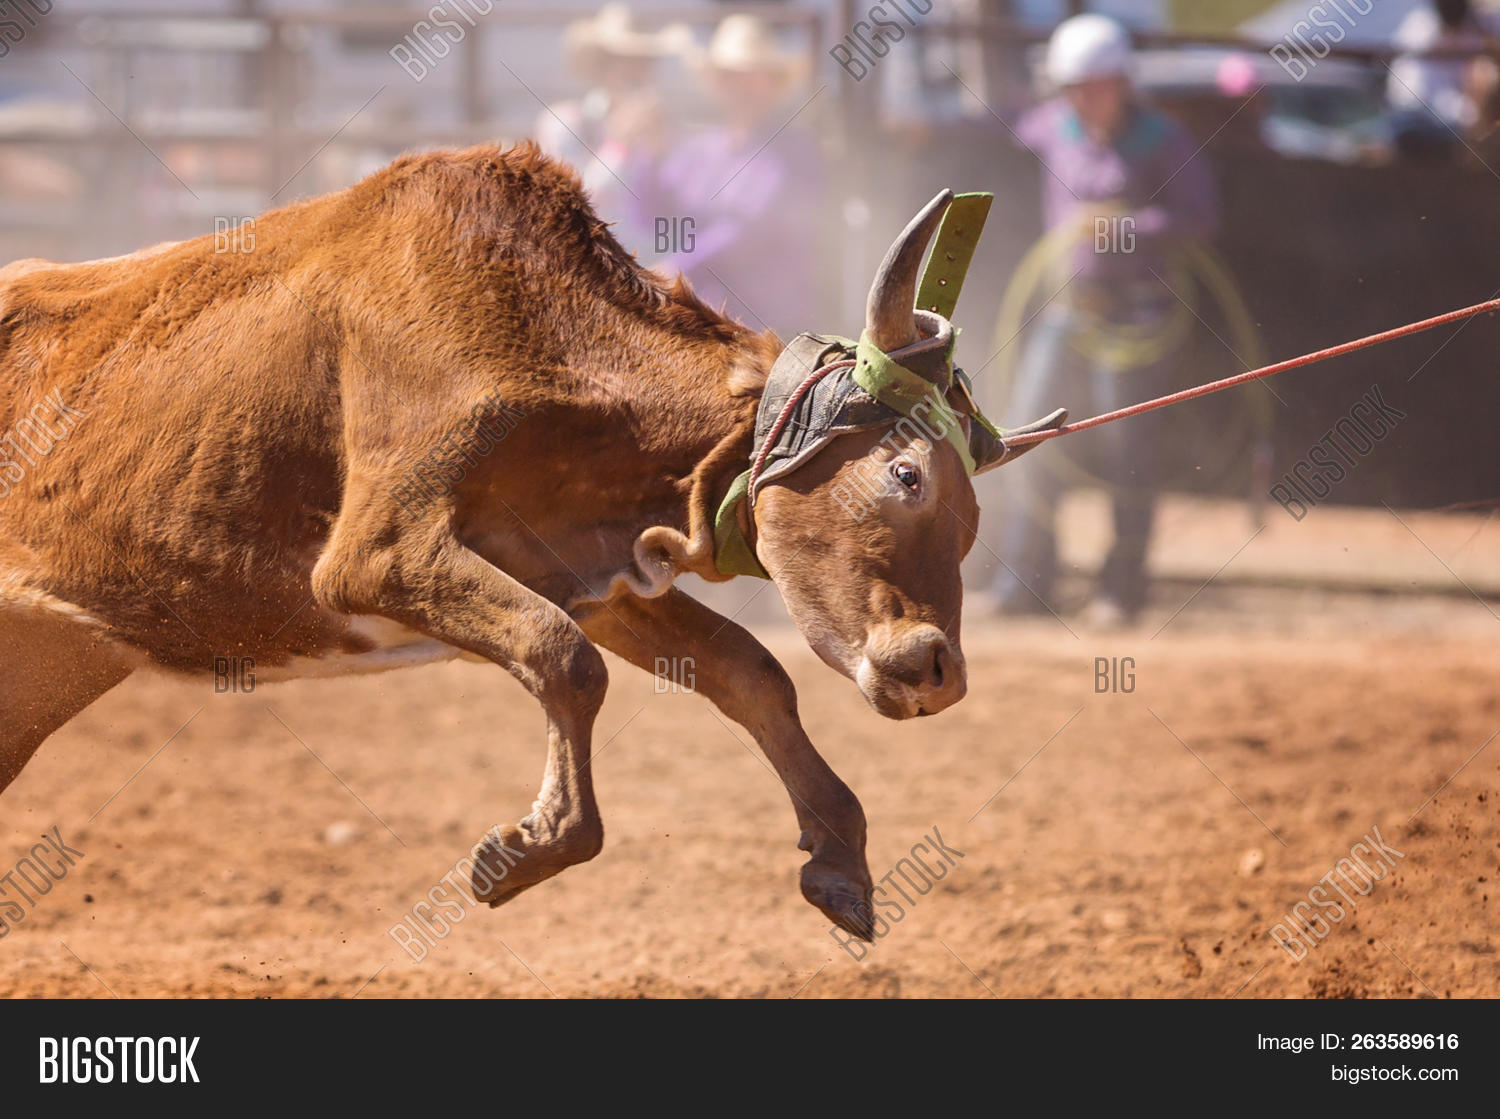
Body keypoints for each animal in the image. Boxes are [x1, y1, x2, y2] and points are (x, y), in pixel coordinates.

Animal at [0, 143, 1058, 938]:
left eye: (972, 520)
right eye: (906, 476)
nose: (935, 668)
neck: (539, 337)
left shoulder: (599, 570)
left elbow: (745, 670)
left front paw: (839, 855)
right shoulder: (377, 557)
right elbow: (563, 656)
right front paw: (535, 842)